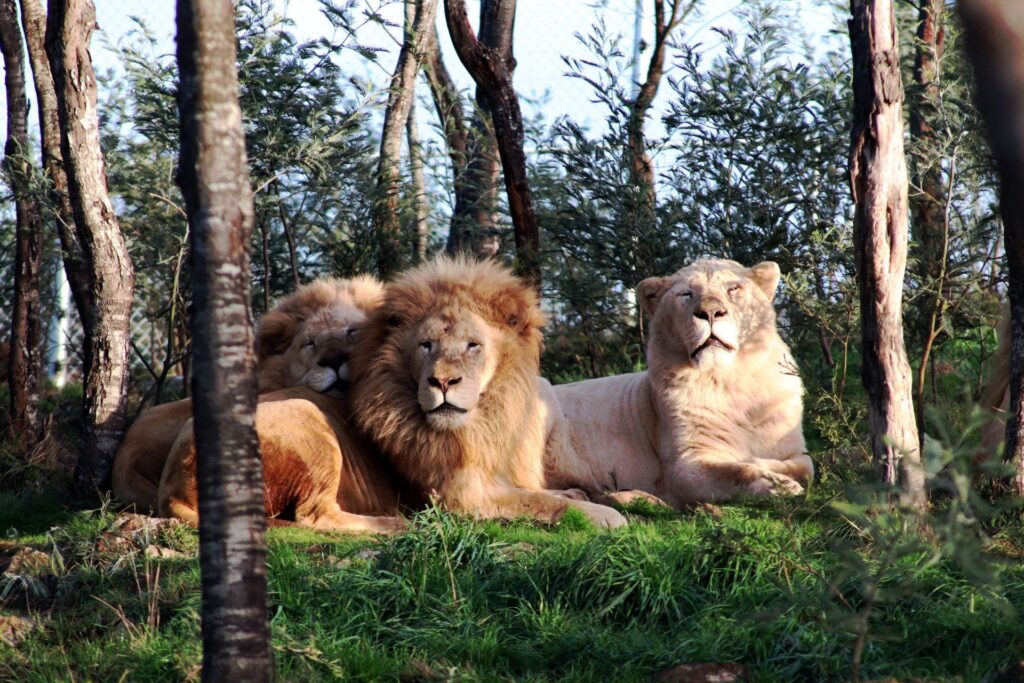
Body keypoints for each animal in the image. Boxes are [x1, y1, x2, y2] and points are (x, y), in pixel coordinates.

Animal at [348, 256, 627, 528]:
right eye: (426, 345)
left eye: (472, 345)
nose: (443, 381)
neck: (481, 428)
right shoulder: (461, 496)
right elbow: (539, 501)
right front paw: (605, 515)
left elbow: (543, 495)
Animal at [544, 258, 814, 507]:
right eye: (686, 294)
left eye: (733, 289)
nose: (710, 312)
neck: (729, 380)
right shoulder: (683, 466)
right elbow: (737, 471)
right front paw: (779, 484)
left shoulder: (794, 449)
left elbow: (805, 466)